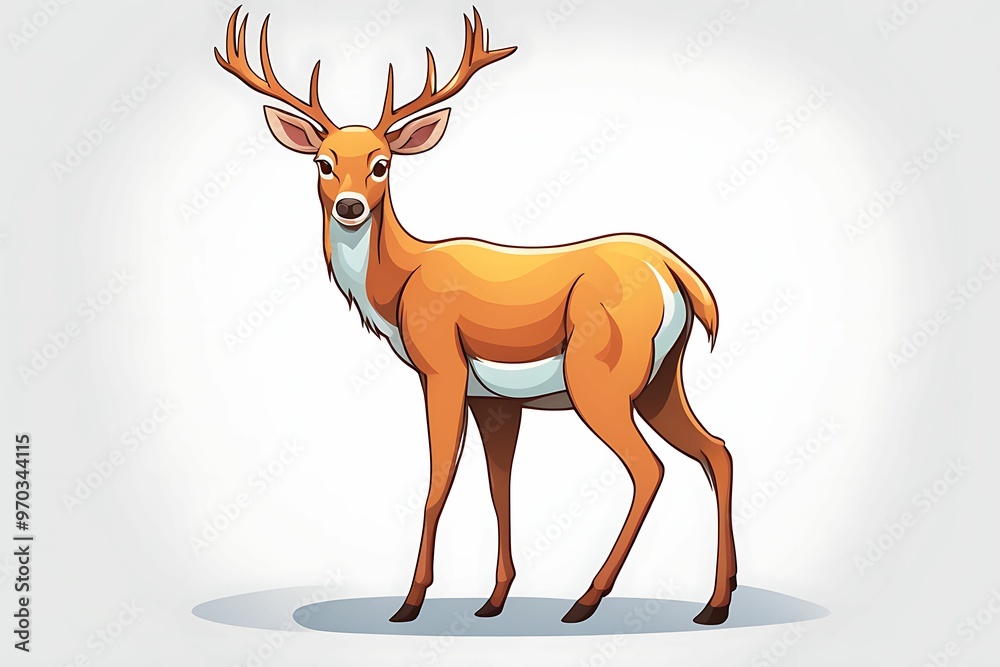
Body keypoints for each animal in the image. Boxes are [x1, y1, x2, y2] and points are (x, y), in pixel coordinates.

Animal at [215, 7, 736, 626]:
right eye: (323, 163)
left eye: (381, 165)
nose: (350, 206)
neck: (400, 286)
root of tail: (676, 273)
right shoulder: (494, 400)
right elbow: (498, 485)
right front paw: (494, 599)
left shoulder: (441, 367)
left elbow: (438, 480)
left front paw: (411, 602)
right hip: (661, 379)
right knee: (717, 451)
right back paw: (715, 603)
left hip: (599, 375)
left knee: (649, 468)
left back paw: (586, 600)